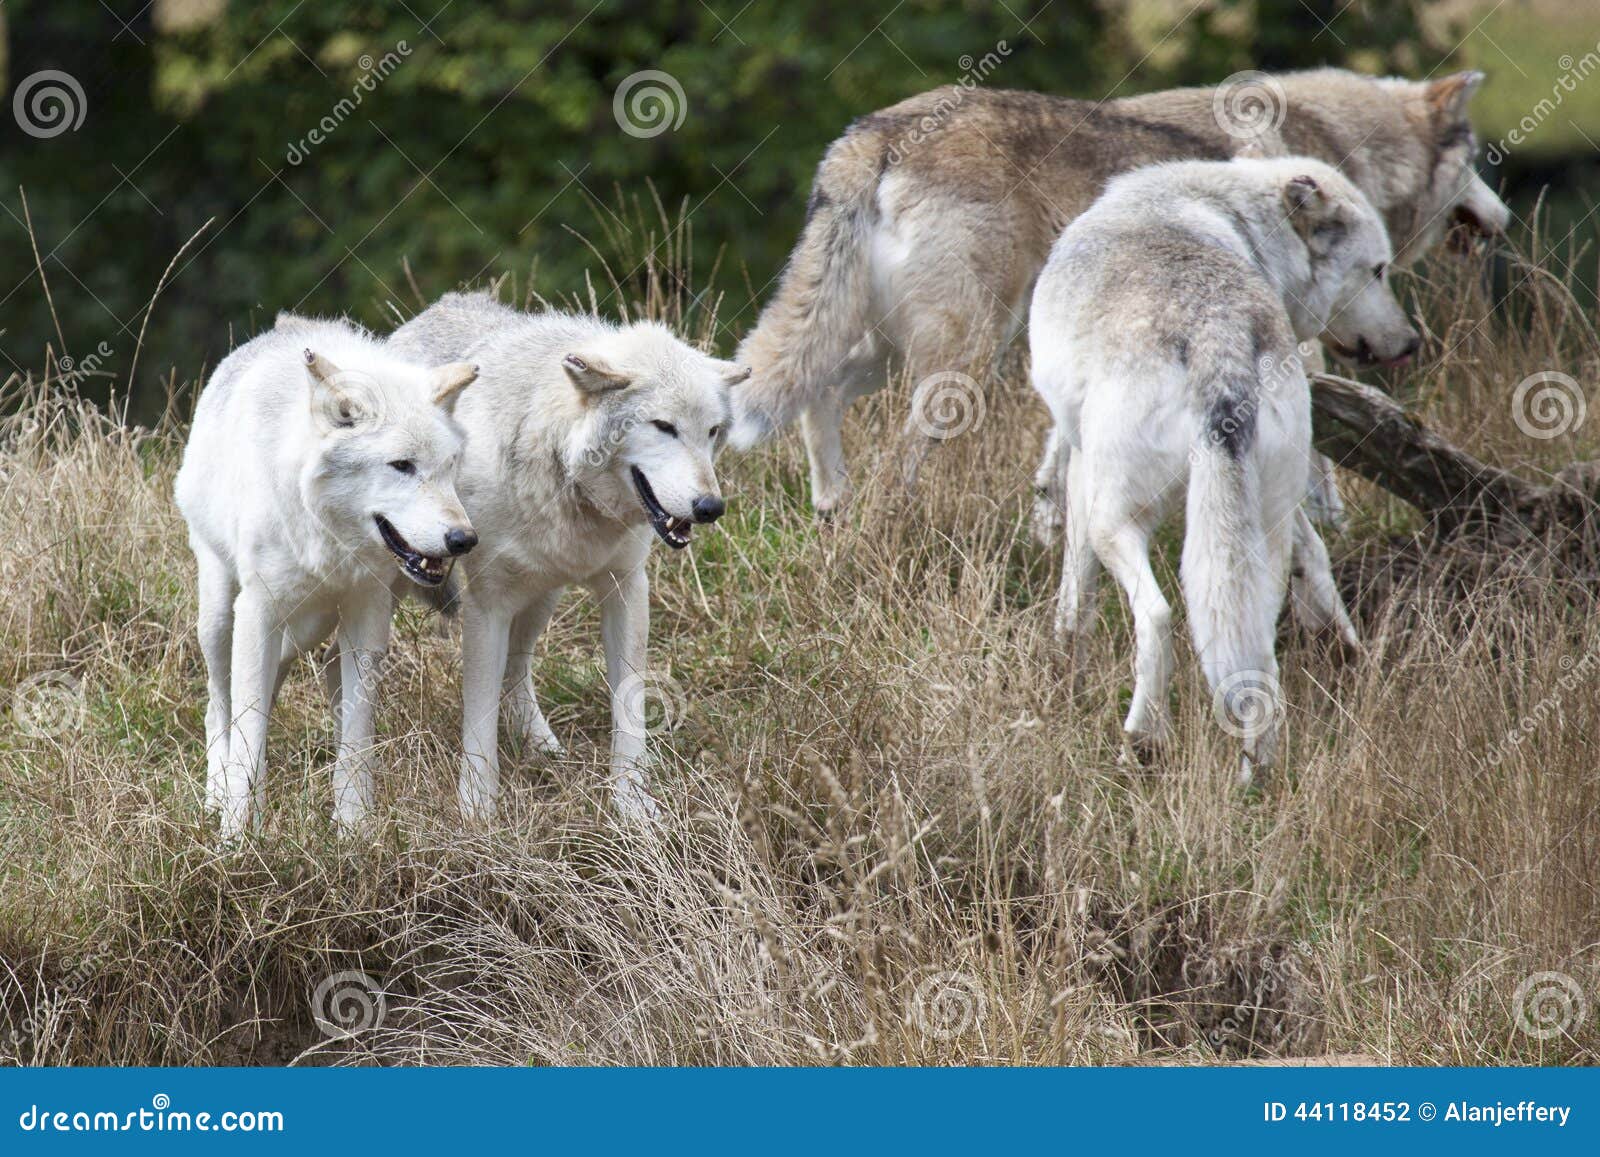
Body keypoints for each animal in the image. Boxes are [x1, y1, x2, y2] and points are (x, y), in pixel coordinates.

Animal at [174, 316, 480, 839]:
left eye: (450, 466)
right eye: (402, 465)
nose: (463, 539)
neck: (331, 538)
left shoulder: (366, 614)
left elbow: (356, 736)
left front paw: (354, 830)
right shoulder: (256, 612)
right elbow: (248, 730)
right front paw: (236, 838)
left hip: (312, 628)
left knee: (294, 679)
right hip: (219, 617)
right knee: (220, 705)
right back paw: (216, 793)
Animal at [388, 293, 749, 824]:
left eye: (712, 432)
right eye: (663, 427)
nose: (710, 507)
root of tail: (436, 308)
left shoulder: (628, 589)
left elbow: (628, 707)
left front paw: (633, 807)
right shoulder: (487, 604)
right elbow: (479, 715)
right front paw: (477, 810)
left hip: (543, 597)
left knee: (518, 671)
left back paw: (542, 747)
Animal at [730, 68, 1507, 520]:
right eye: (1376, 271)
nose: (1503, 219)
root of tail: (874, 132)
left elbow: (1061, 467)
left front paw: (1053, 523)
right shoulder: (1293, 350)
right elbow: (1316, 474)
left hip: (894, 349)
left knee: (818, 397)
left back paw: (833, 512)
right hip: (960, 364)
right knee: (893, 460)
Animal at [1030, 156, 1418, 778]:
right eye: (1378, 271)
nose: (1412, 342)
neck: (1233, 216)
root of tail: (1220, 340)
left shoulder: (1081, 470)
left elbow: (1075, 589)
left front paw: (1065, 665)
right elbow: (1317, 555)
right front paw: (1345, 648)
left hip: (1120, 523)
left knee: (1159, 616)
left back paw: (1143, 742)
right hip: (1256, 527)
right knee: (1255, 649)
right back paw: (1259, 767)